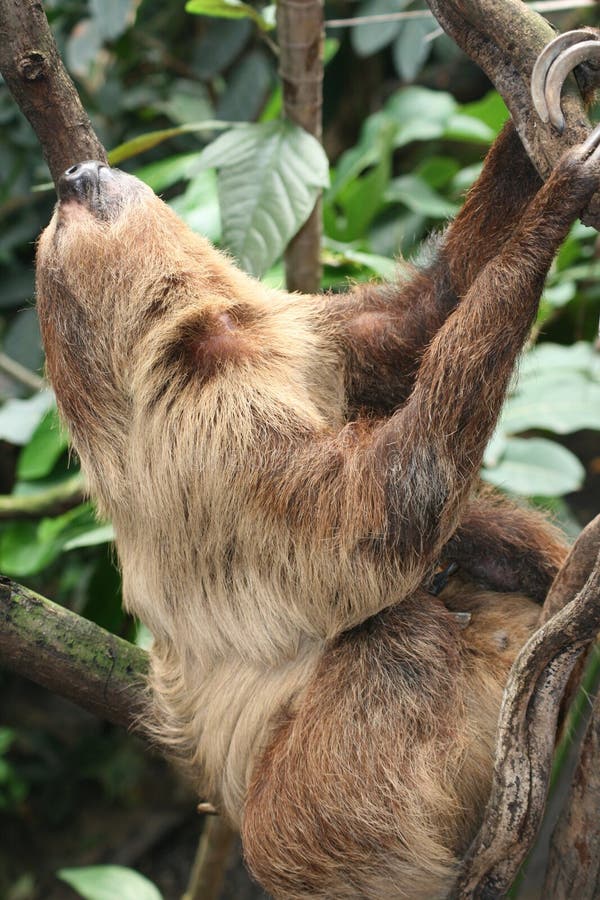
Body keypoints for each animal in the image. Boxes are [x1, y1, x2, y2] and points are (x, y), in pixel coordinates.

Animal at [35, 39, 600, 899]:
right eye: (67, 222)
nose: (72, 175)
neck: (221, 346)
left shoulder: (299, 328)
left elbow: (413, 321)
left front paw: (530, 109)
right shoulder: (212, 441)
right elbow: (380, 514)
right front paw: (559, 199)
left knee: (491, 528)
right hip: (310, 823)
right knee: (395, 637)